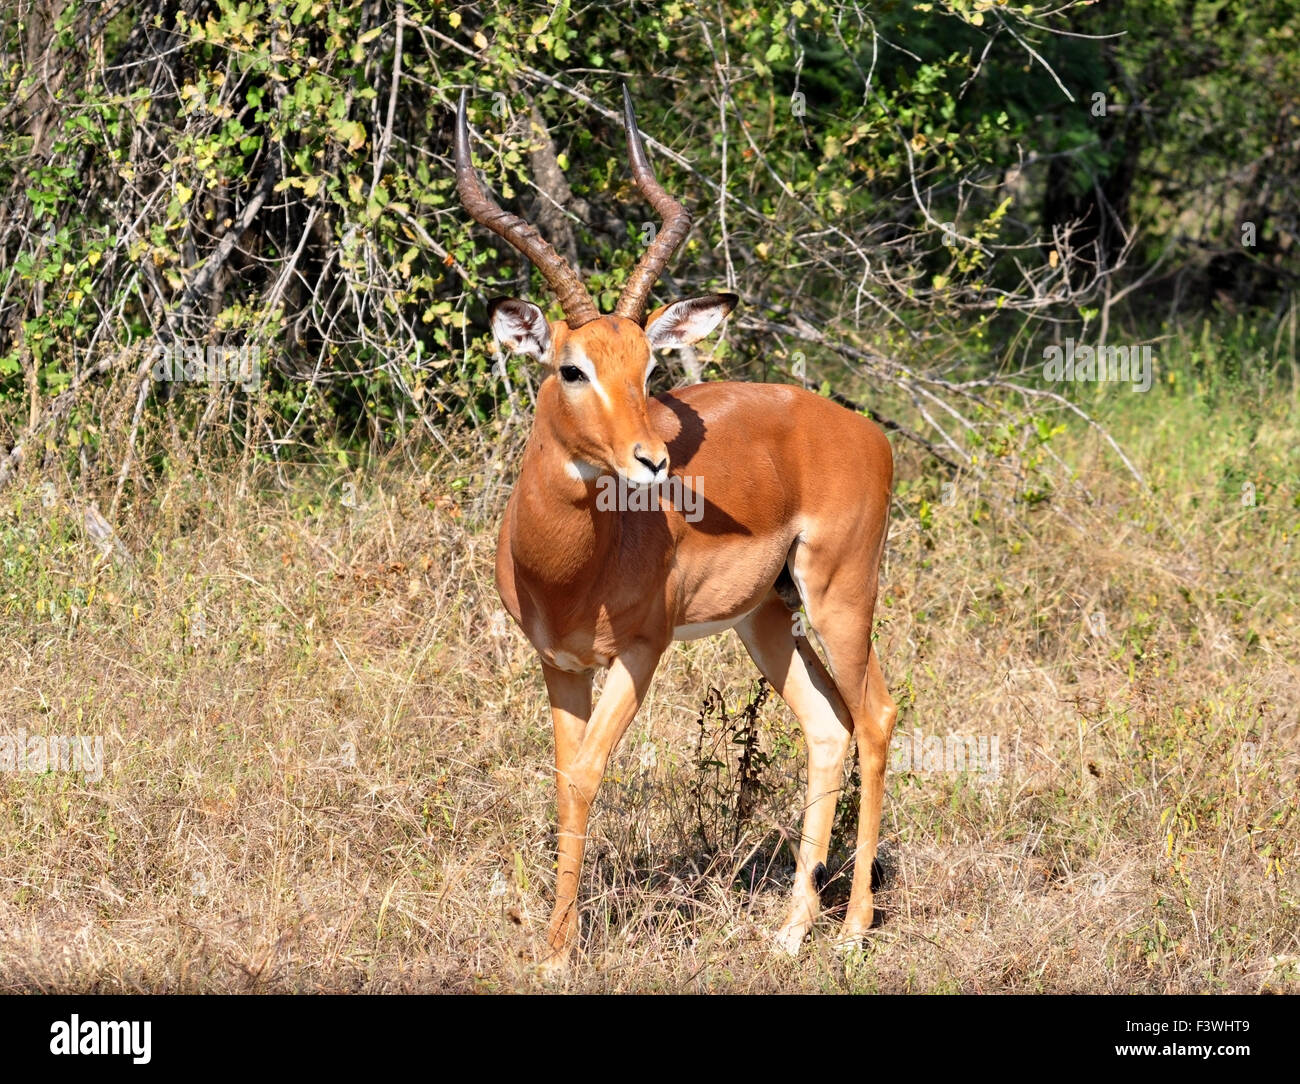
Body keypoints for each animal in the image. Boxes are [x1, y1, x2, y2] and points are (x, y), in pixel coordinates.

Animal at [455, 86, 897, 968]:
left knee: (876, 716)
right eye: (572, 368)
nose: (652, 460)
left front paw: (557, 953)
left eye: (648, 366)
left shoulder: (640, 651)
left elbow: (587, 776)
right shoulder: (558, 663)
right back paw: (791, 931)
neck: (565, 568)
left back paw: (853, 931)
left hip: (840, 597)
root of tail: (867, 432)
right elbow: (563, 776)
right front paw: (556, 941)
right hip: (767, 617)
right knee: (828, 727)